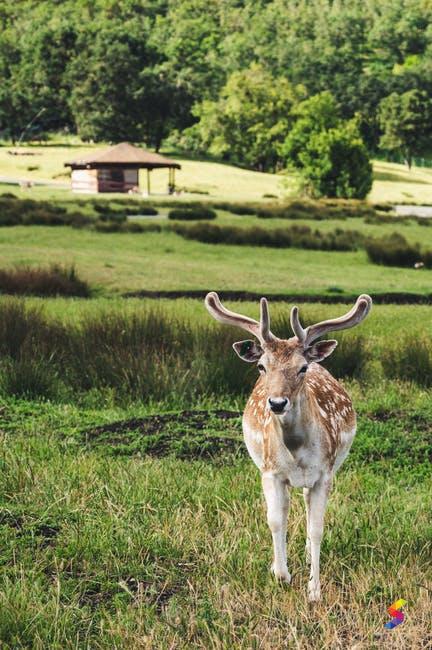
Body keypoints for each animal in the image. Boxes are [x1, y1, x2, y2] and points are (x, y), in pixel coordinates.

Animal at [204, 292, 372, 602]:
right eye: (262, 366)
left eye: (301, 368)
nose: (277, 403)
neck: (296, 451)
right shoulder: (270, 472)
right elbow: (275, 520)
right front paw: (281, 573)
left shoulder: (325, 473)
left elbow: (317, 528)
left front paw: (314, 590)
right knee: (285, 509)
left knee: (305, 503)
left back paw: (306, 555)